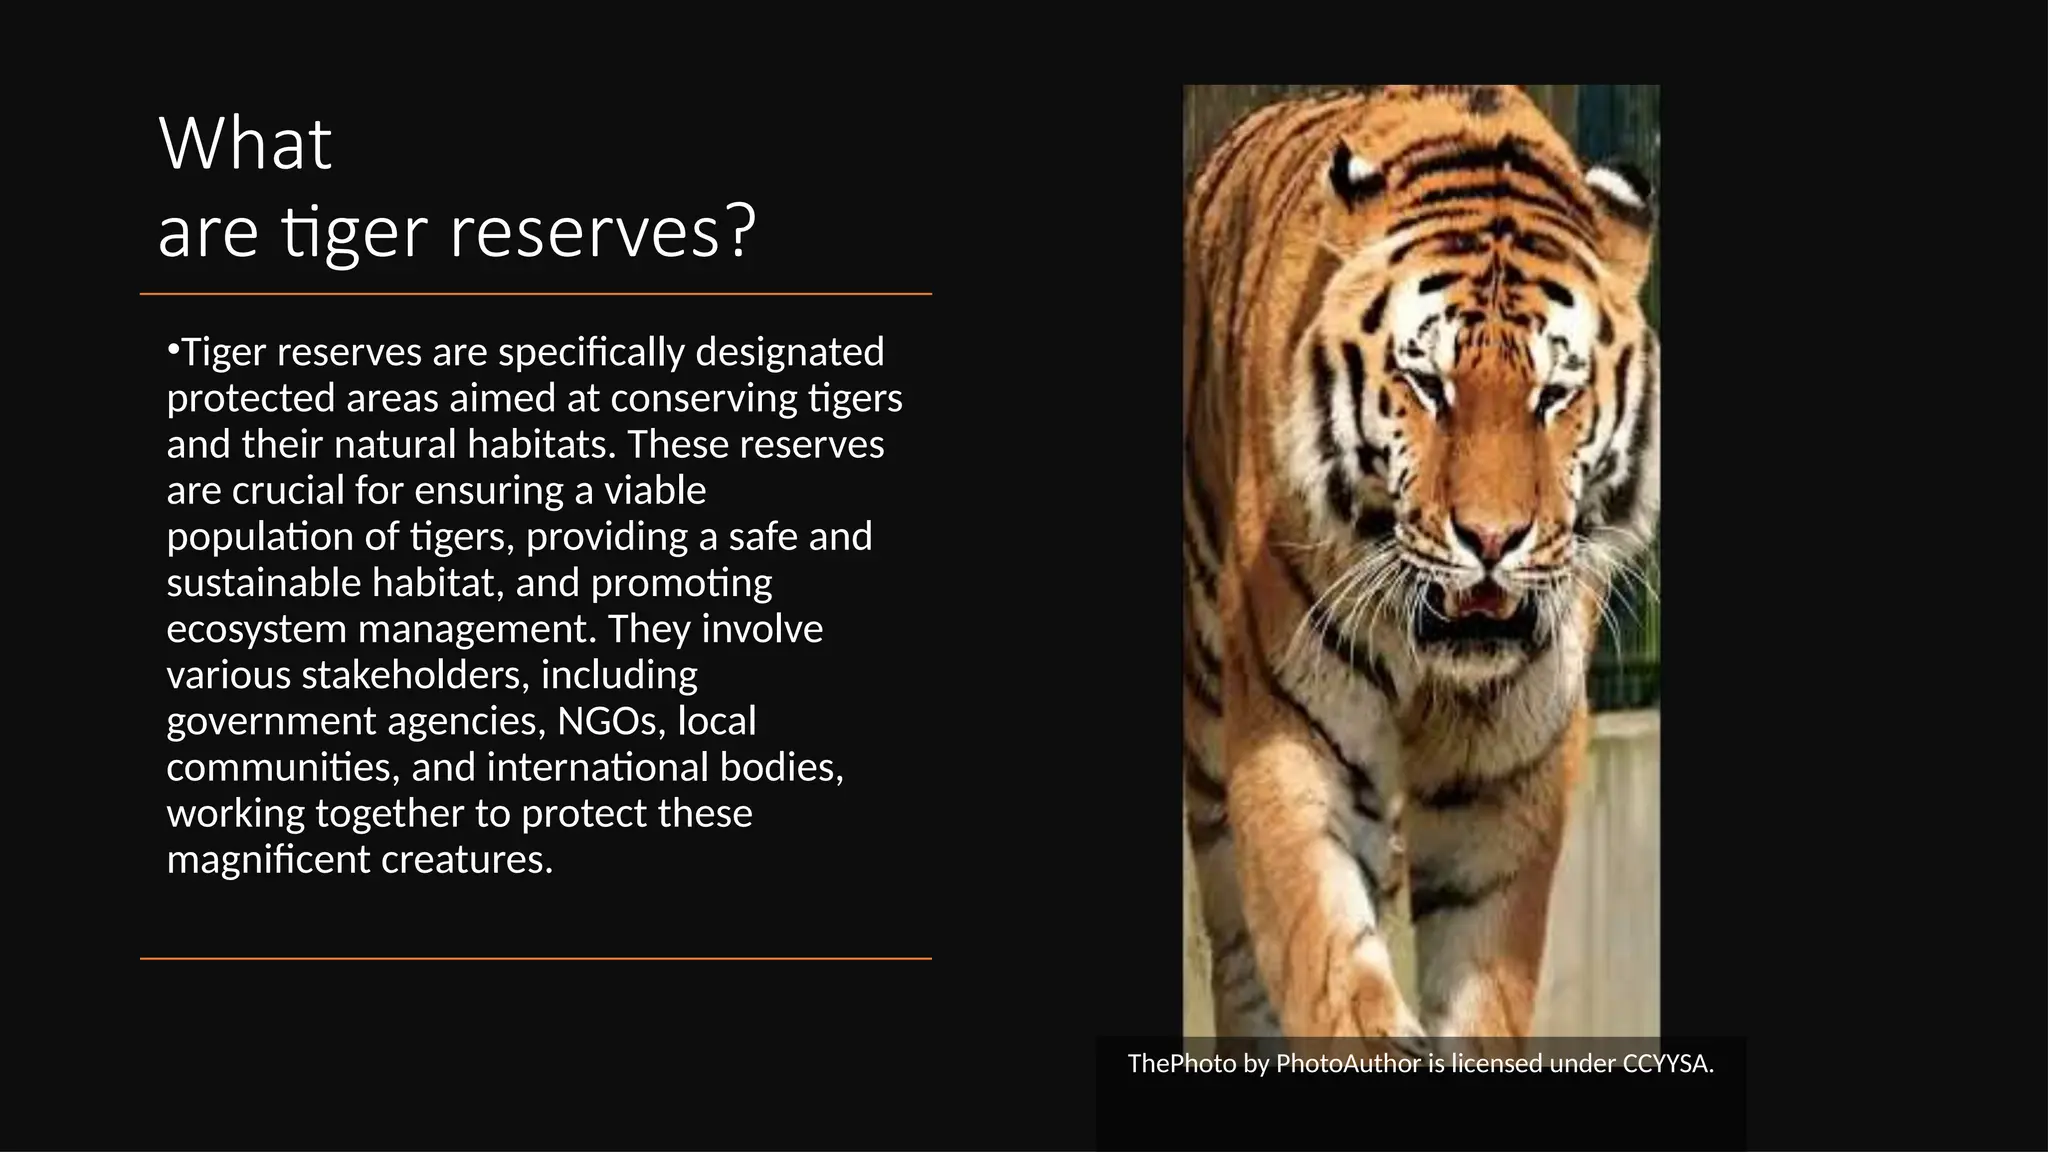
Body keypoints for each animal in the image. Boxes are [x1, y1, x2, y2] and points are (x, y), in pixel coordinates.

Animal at [1181, 84, 1659, 1050]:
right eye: (1429, 386)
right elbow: (1329, 956)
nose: (1492, 538)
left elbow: (1485, 983)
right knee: (1238, 950)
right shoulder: (1292, 730)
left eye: (1554, 394)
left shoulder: (1512, 769)